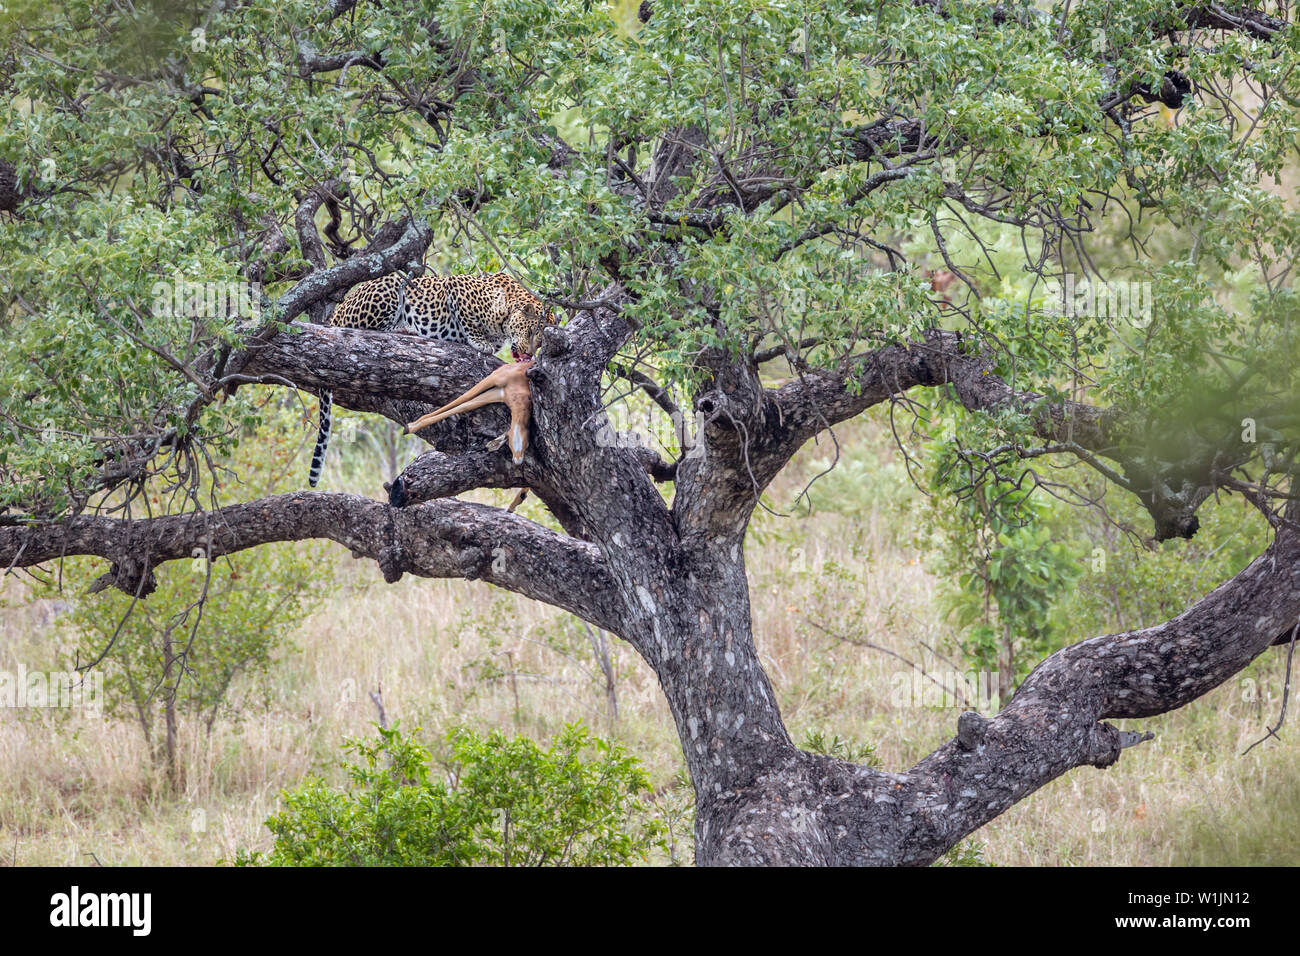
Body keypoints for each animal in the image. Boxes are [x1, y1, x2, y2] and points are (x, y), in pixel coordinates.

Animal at [308, 271, 555, 487]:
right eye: (531, 333)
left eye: (540, 342)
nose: (529, 355)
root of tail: (338, 311)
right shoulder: (457, 286)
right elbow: (467, 320)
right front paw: (478, 340)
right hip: (390, 286)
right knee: (366, 328)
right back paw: (404, 329)